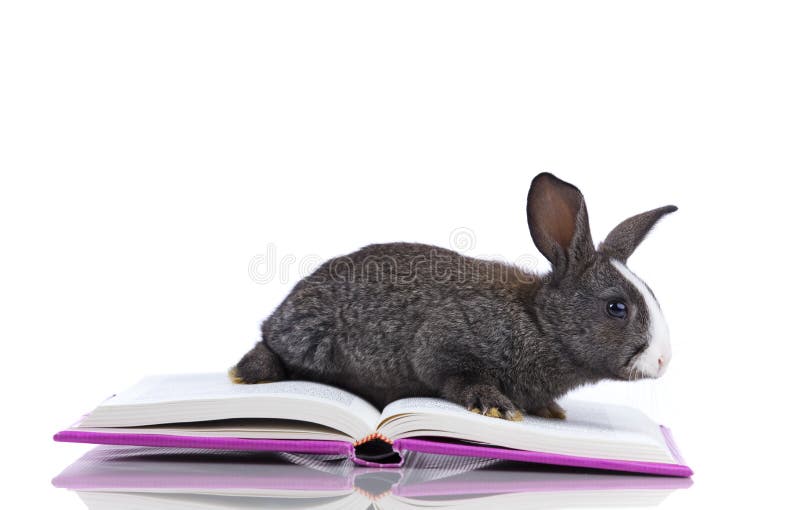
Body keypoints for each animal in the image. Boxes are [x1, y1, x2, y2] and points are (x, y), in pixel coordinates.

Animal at [230, 173, 677, 421]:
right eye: (616, 307)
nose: (663, 361)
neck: (539, 323)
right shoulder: (444, 343)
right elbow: (455, 375)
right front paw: (495, 405)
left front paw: (549, 410)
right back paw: (248, 373)